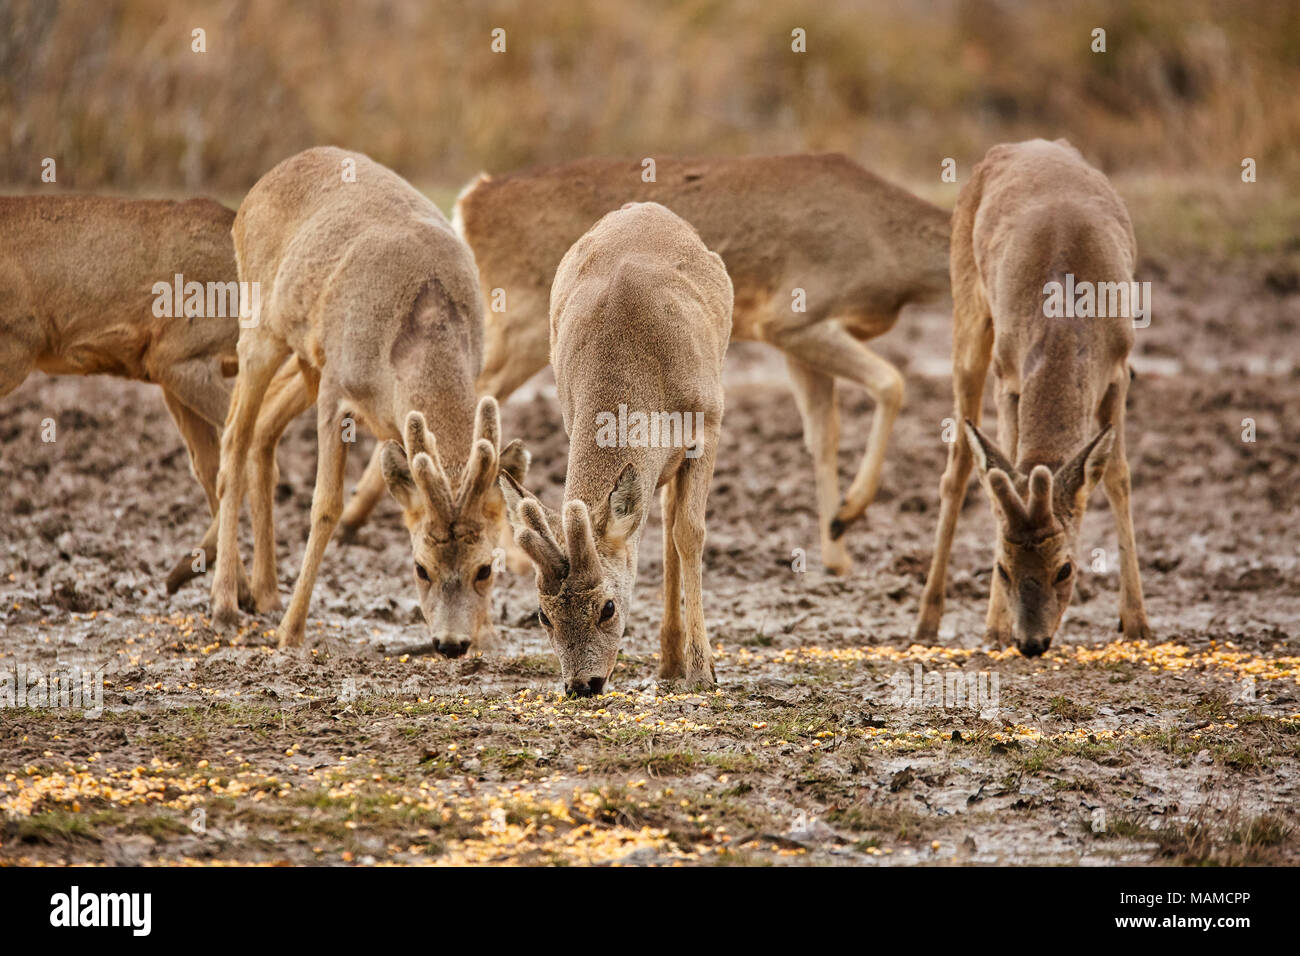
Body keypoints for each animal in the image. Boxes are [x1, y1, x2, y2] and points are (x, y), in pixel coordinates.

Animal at [0, 195, 256, 601]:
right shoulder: (179, 357)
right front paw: (202, 582)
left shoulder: (171, 375)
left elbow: (209, 468)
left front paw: (234, 590)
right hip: (14, 347)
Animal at [209, 146, 527, 652]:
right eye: (420, 569)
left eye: (485, 569)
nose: (451, 643)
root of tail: (263, 182)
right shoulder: (336, 389)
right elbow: (326, 506)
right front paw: (291, 633)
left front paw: (490, 636)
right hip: (259, 324)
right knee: (235, 437)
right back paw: (225, 604)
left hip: (308, 357)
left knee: (264, 431)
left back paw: (265, 593)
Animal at [331, 154, 951, 576]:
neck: (886, 249)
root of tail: (470, 200)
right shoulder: (793, 316)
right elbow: (893, 383)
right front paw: (847, 517)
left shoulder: (795, 337)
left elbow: (823, 433)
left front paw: (836, 547)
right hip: (520, 323)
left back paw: (357, 520)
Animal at [499, 202, 732, 696]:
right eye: (543, 615)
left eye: (607, 607)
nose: (582, 684)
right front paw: (683, 664)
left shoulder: (710, 417)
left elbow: (690, 532)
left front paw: (704, 672)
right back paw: (667, 661)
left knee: (672, 525)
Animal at [913, 139, 1152, 657]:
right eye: (1001, 568)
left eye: (1065, 568)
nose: (1031, 641)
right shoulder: (1008, 371)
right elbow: (999, 473)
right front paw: (993, 628)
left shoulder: (1121, 366)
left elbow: (1118, 476)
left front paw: (1137, 622)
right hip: (968, 309)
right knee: (958, 465)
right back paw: (926, 621)